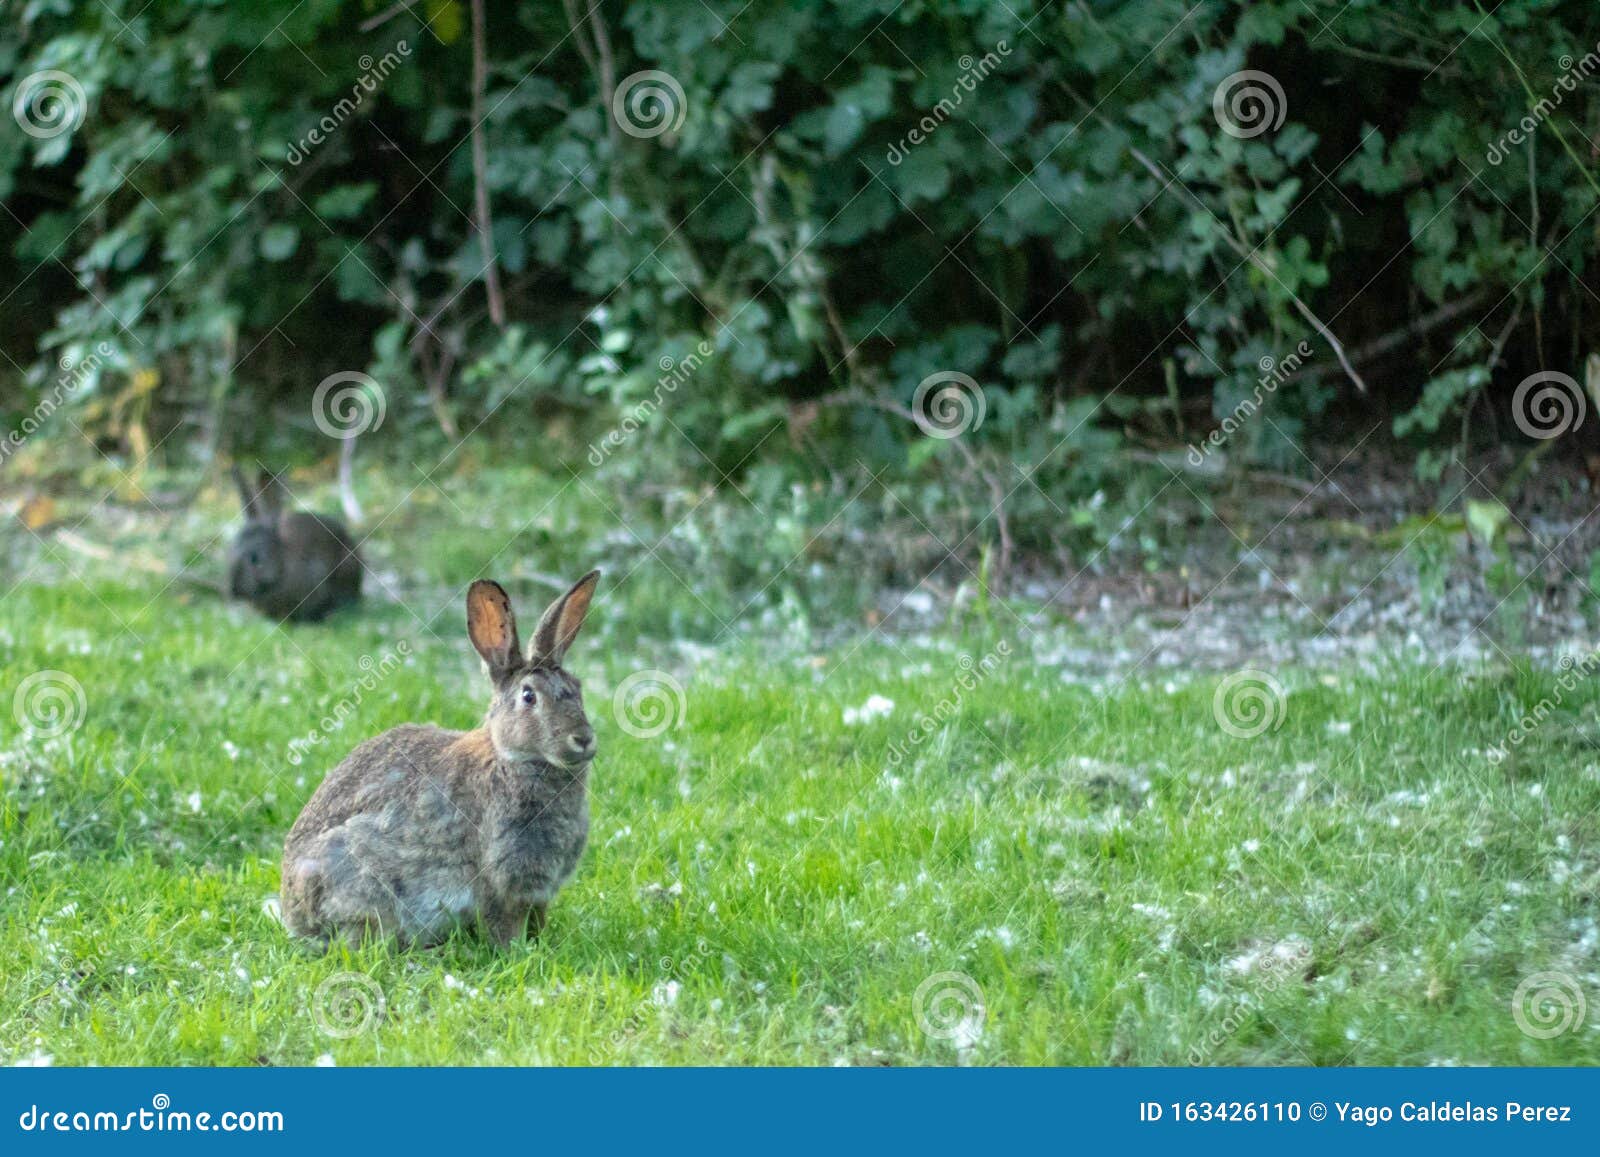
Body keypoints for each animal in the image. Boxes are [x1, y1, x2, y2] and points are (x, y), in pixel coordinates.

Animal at [280, 571, 601, 948]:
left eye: (577, 688)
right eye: (528, 696)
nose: (583, 739)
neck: (510, 760)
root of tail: (291, 912)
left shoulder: (538, 892)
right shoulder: (501, 882)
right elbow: (504, 925)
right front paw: (516, 951)